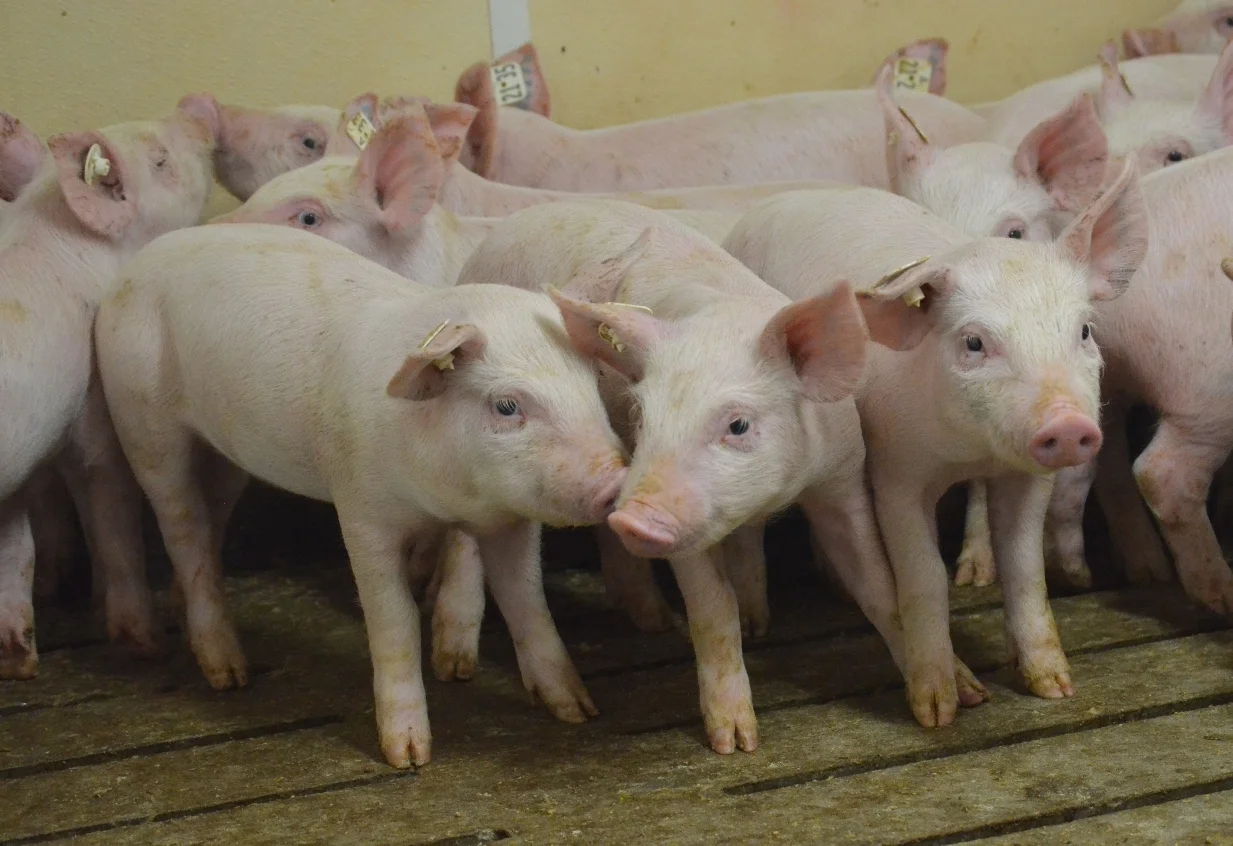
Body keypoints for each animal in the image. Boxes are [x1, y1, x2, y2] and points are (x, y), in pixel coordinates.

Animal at [0, 95, 221, 679]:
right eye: (160, 160)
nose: (196, 104)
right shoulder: (92, 399)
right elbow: (110, 506)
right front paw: (144, 645)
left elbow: (16, 548)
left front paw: (18, 663)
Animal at [94, 222, 628, 767]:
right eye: (506, 405)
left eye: (591, 385)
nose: (615, 481)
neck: (446, 499)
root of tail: (143, 259)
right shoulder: (362, 511)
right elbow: (395, 619)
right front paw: (409, 757)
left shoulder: (511, 521)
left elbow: (529, 603)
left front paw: (579, 712)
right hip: (144, 423)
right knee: (183, 528)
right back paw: (229, 676)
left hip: (226, 455)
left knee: (209, 523)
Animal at [458, 197, 989, 751]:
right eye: (642, 416)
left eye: (738, 424)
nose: (635, 518)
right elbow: (713, 609)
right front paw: (735, 743)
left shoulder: (842, 478)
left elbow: (880, 587)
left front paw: (959, 701)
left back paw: (662, 621)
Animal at [723, 159, 1147, 725]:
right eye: (974, 342)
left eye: (1083, 331)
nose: (1067, 424)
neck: (967, 451)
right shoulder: (894, 471)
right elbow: (923, 575)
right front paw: (938, 712)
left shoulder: (1026, 476)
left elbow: (1025, 567)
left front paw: (1055, 687)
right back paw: (755, 624)